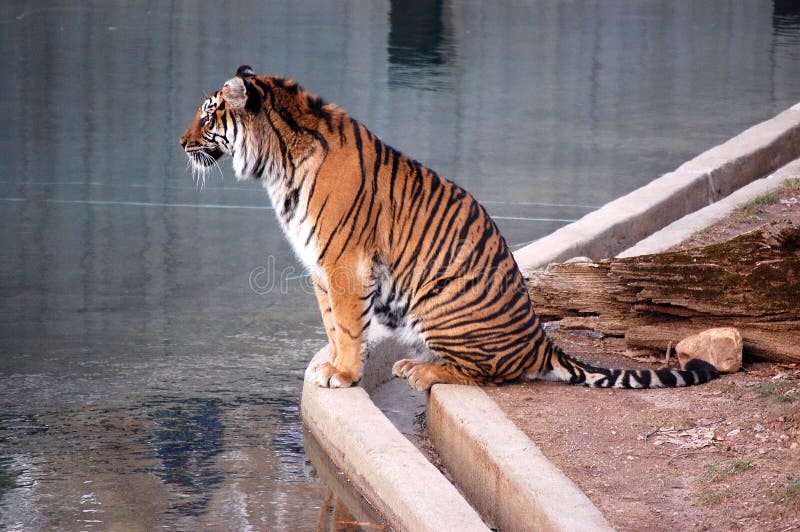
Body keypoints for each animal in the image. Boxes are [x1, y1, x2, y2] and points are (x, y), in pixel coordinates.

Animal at [180, 65, 719, 391]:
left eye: (208, 114)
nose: (180, 142)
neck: (278, 165)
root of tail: (540, 340)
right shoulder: (319, 265)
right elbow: (332, 323)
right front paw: (328, 364)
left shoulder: (344, 263)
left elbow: (349, 325)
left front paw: (344, 374)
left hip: (438, 301)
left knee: (489, 374)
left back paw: (420, 371)